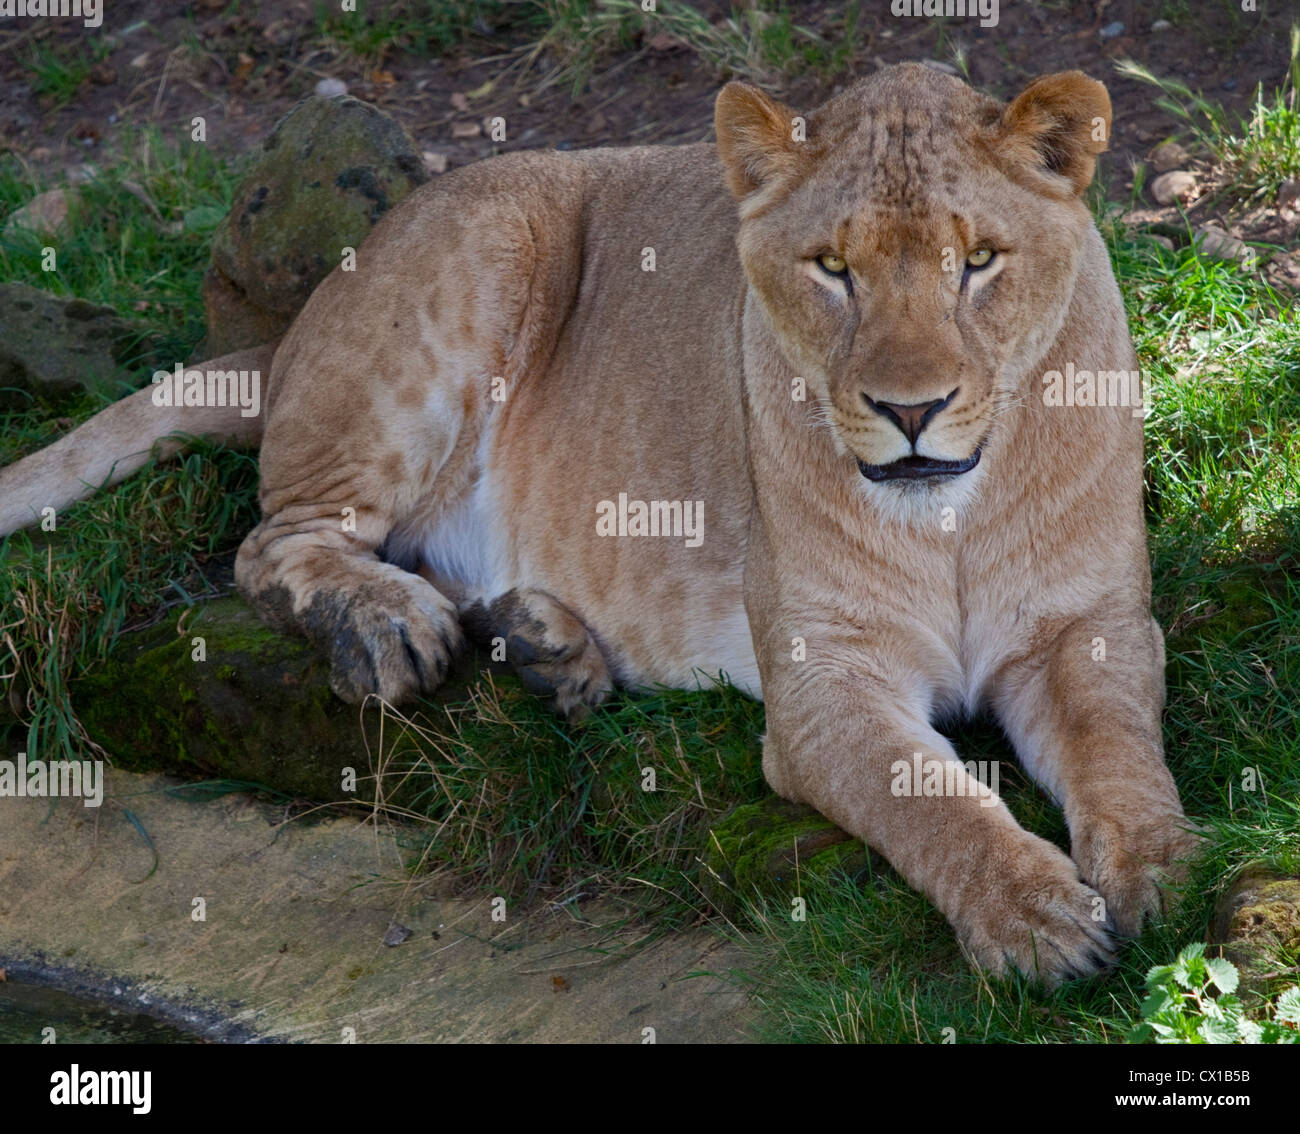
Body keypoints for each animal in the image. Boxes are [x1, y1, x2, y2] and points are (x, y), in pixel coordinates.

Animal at [0, 64, 1198, 985]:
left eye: (978, 260)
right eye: (832, 269)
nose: (912, 411)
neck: (948, 515)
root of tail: (292, 331)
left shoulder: (1093, 626)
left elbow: (1118, 749)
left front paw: (1168, 875)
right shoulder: (821, 683)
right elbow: (933, 801)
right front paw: (1033, 916)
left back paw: (546, 645)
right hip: (475, 255)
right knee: (275, 541)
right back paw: (393, 627)